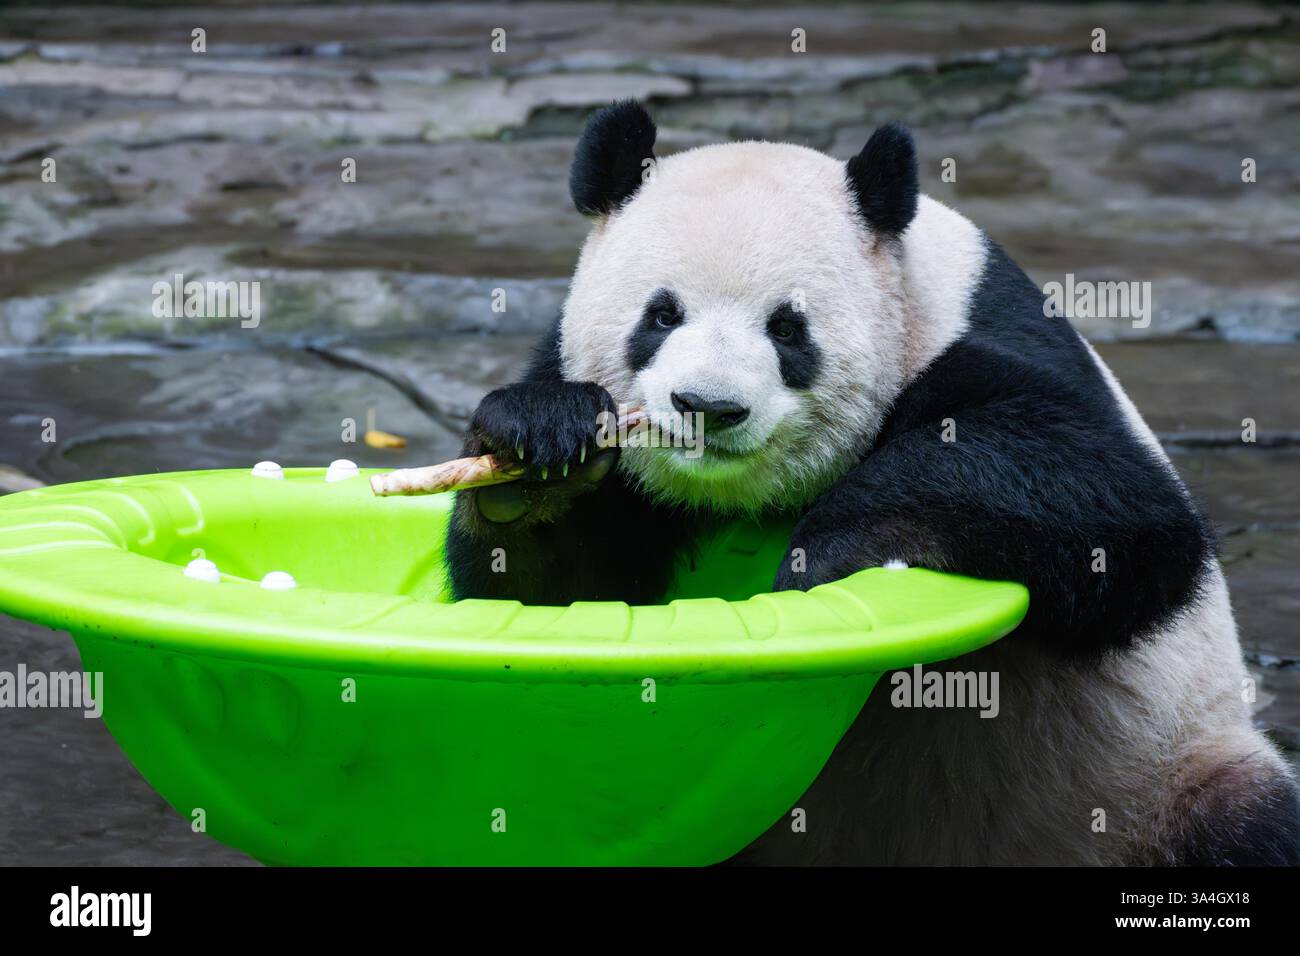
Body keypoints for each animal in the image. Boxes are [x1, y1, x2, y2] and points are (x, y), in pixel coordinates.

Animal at [445, 100, 1300, 866]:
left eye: (787, 328)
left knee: (1247, 827)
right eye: (661, 315)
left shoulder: (979, 334)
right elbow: (558, 594)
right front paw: (537, 459)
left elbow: (1121, 506)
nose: (707, 408)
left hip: (1163, 778)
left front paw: (833, 547)